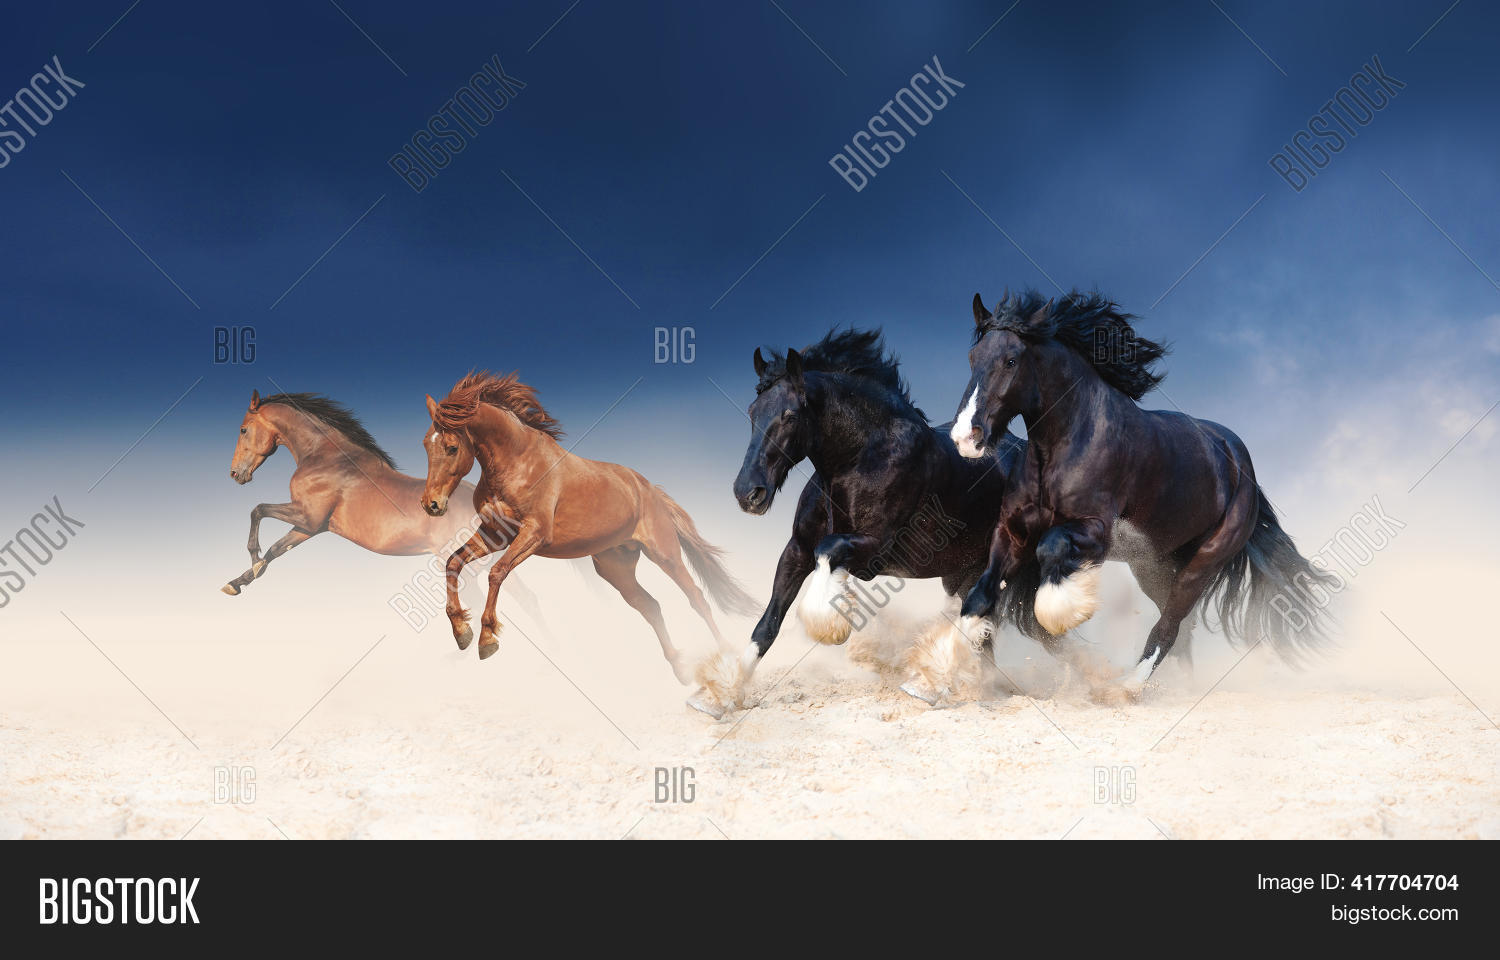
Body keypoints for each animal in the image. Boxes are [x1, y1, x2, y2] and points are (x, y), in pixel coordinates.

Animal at [223, 389, 550, 627]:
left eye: (243, 429)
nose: (235, 474)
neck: (327, 458)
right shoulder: (311, 527)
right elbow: (277, 549)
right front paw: (239, 581)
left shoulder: (308, 515)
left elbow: (258, 510)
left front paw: (252, 560)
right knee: (526, 597)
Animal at [420, 371, 758, 683]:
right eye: (426, 444)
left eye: (451, 447)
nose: (431, 504)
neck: (518, 463)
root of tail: (650, 490)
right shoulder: (494, 535)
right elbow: (454, 563)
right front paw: (461, 631)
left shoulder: (534, 534)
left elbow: (496, 572)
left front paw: (487, 638)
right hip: (616, 568)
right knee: (650, 606)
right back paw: (680, 669)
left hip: (665, 555)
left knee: (697, 599)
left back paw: (728, 659)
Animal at [691, 328, 1029, 717]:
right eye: (752, 412)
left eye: (789, 415)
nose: (748, 492)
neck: (862, 459)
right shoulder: (796, 550)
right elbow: (767, 624)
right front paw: (719, 697)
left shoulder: (874, 550)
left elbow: (830, 550)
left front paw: (828, 623)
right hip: (962, 574)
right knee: (981, 630)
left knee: (982, 615)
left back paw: (935, 686)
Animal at [950, 290, 1337, 692]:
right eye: (973, 357)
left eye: (1011, 360)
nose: (966, 437)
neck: (1066, 443)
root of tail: (1238, 460)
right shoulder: (1013, 531)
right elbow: (980, 595)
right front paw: (941, 669)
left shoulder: (1096, 532)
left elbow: (1051, 546)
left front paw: (1062, 609)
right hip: (1154, 565)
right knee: (1180, 628)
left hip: (1204, 562)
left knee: (1170, 624)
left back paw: (1128, 687)